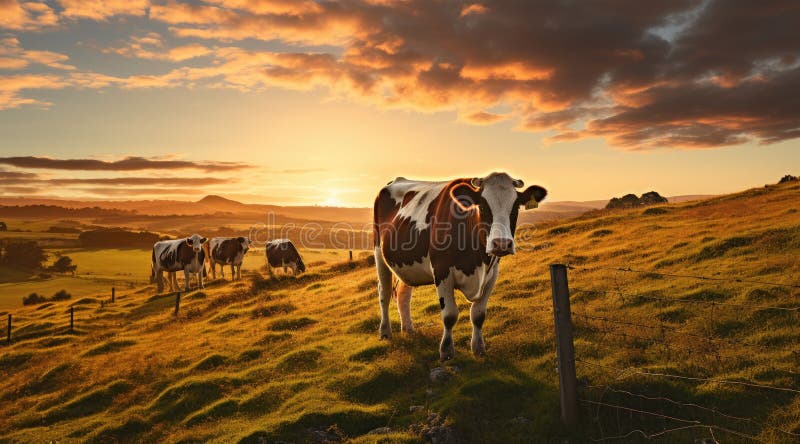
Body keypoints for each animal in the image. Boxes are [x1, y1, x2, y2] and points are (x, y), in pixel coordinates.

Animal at [373, 172, 547, 361]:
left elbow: (478, 314)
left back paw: (408, 329)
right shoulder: (442, 271)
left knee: (403, 293)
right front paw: (446, 352)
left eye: (515, 208)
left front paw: (478, 348)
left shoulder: (492, 274)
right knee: (384, 293)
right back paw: (385, 332)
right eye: (482, 207)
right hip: (379, 252)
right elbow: (449, 315)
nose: (501, 244)